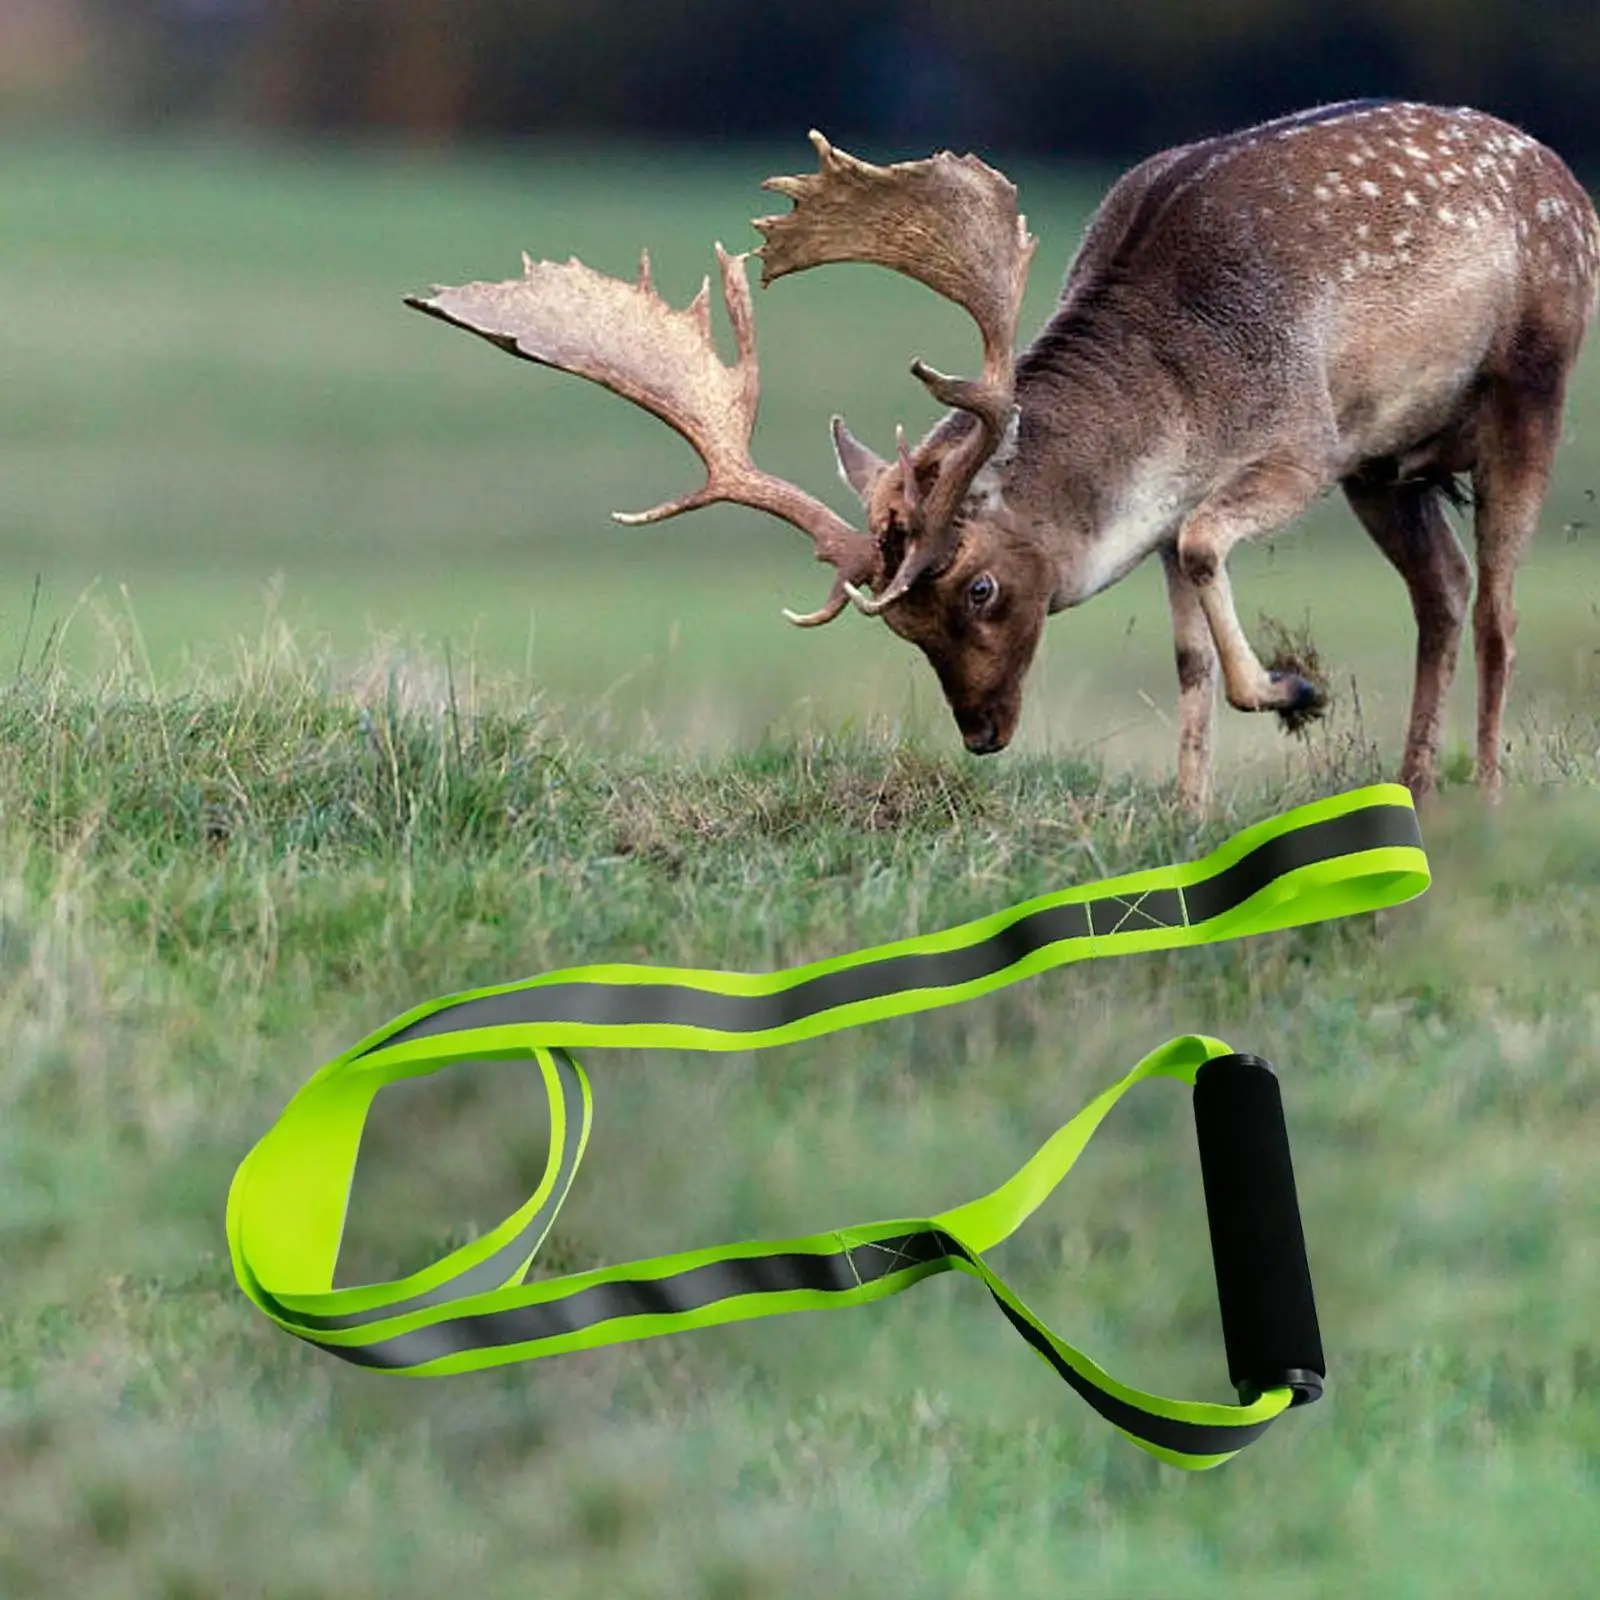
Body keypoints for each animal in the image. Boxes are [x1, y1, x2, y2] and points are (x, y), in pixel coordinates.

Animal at [405, 99, 1600, 813]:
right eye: (902, 628)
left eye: (980, 588)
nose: (980, 735)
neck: (1185, 393)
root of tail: (1573, 184)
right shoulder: (1200, 499)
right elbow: (1186, 652)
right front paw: (1190, 811)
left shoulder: (1303, 437)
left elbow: (1208, 546)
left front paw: (1296, 691)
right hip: (1392, 468)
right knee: (1442, 592)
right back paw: (1413, 788)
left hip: (1522, 386)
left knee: (1496, 607)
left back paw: (1487, 792)